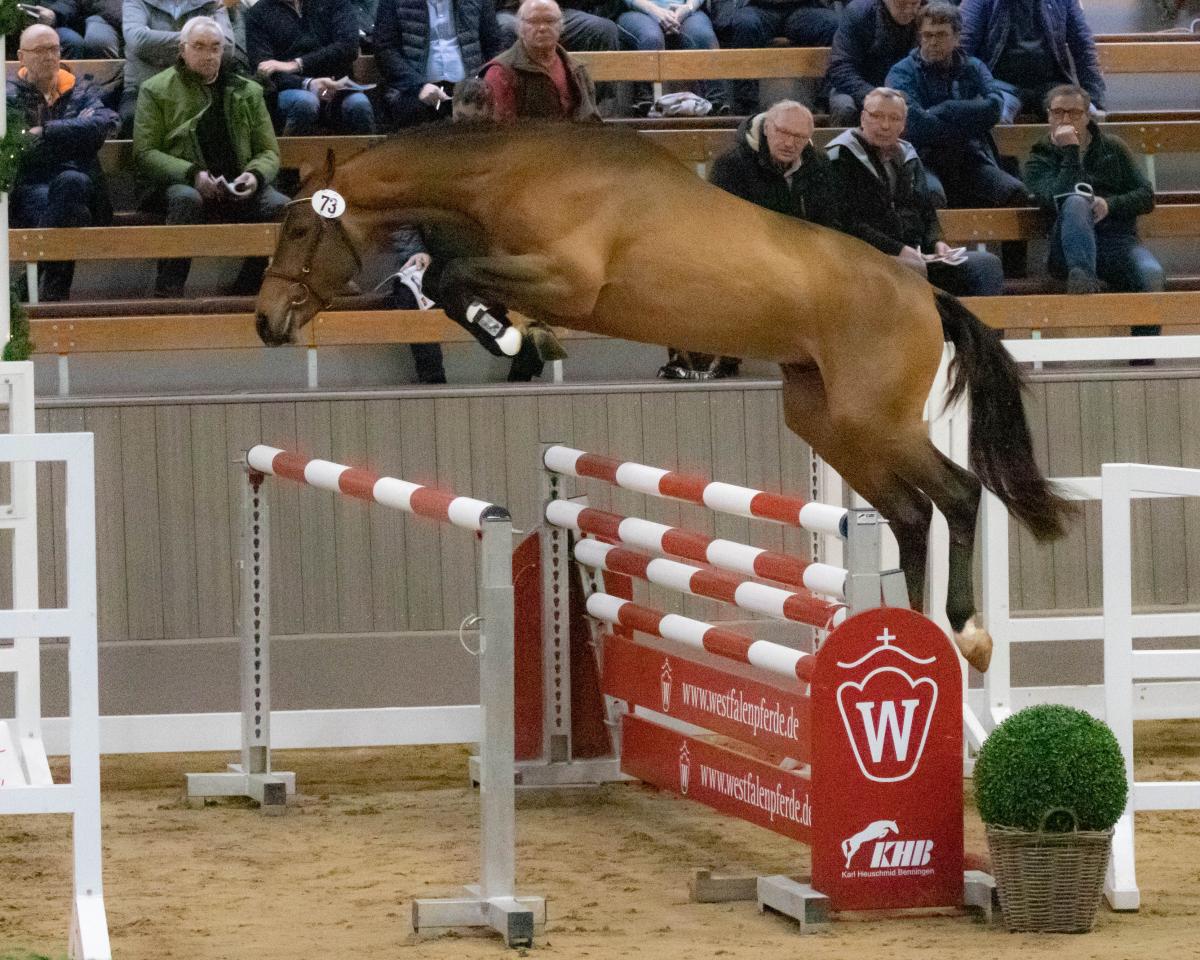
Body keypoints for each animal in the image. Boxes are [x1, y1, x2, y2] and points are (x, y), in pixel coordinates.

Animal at [254, 121, 1074, 673]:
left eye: (298, 228)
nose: (266, 322)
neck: (515, 173)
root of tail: (925, 291)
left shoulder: (568, 279)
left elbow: (456, 276)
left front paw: (516, 339)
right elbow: (452, 280)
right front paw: (520, 337)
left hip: (873, 419)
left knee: (957, 494)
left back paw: (964, 630)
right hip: (827, 421)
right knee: (909, 513)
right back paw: (912, 633)